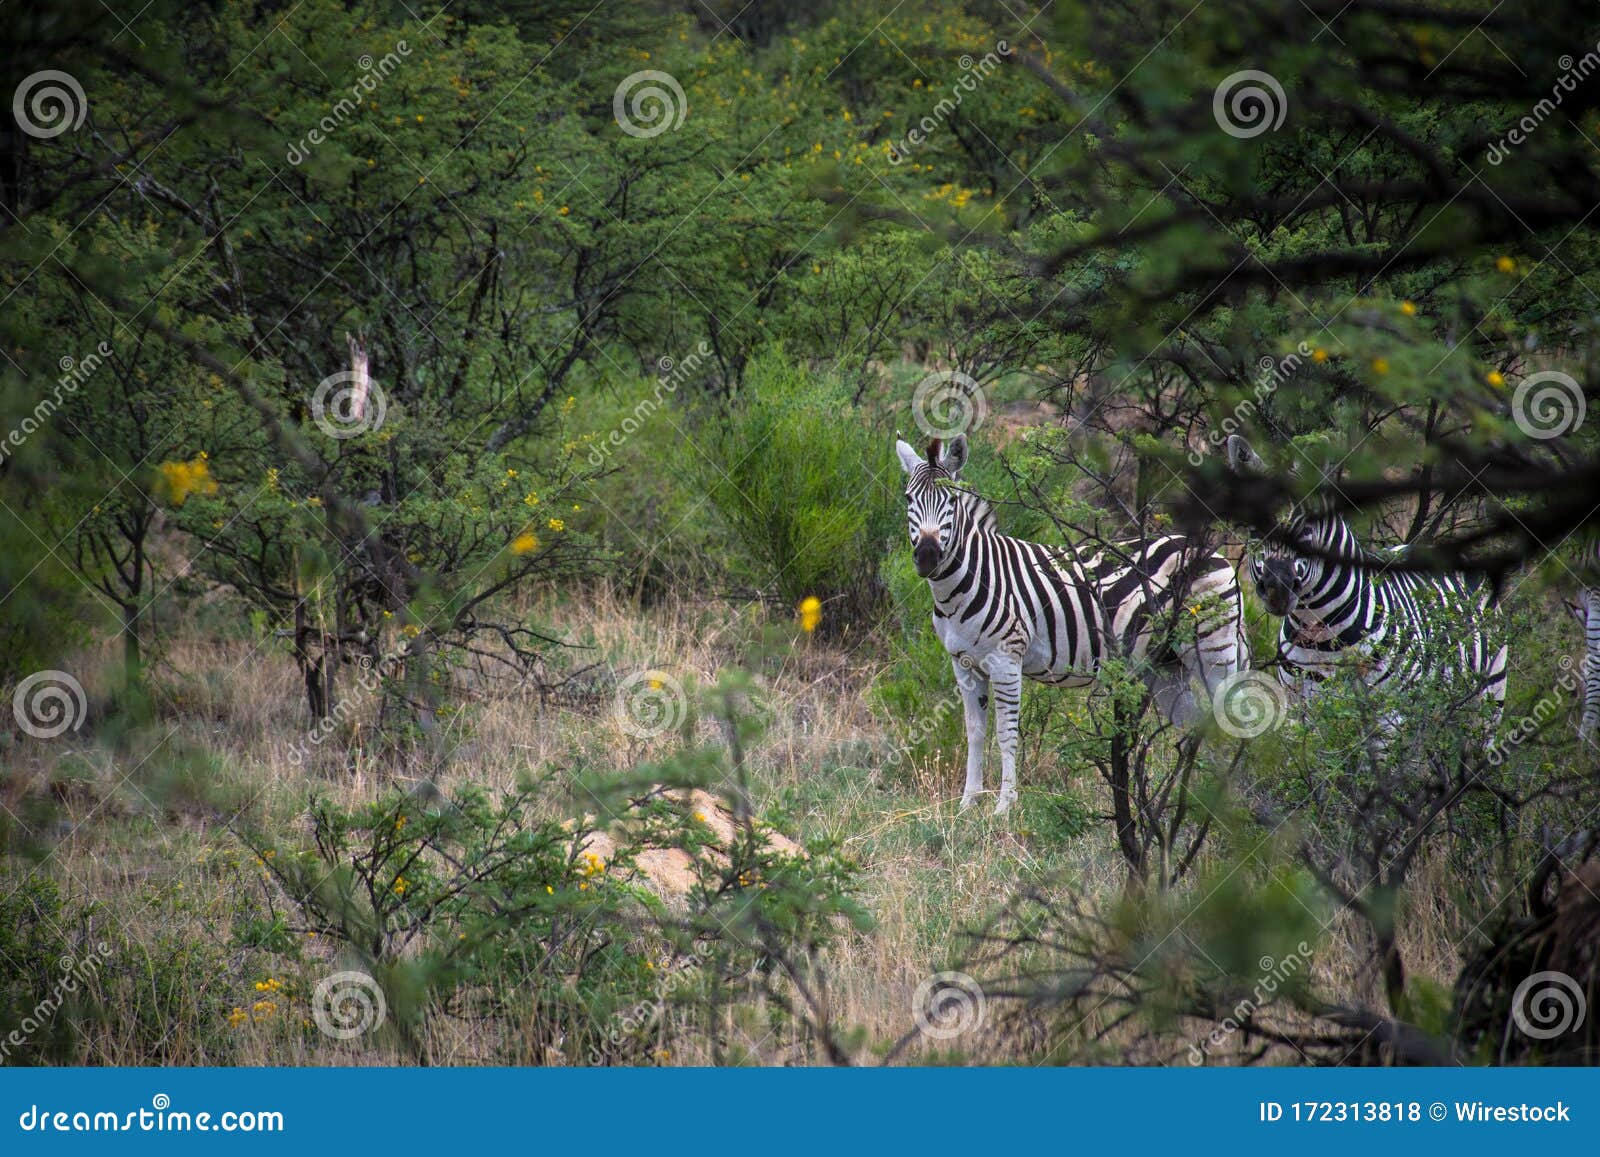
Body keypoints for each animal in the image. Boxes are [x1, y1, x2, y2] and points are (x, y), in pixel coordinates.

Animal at [896, 434, 1247, 814]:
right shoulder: (963, 663)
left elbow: (1005, 733)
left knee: (1228, 723)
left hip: (1213, 650)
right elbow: (974, 731)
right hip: (1169, 665)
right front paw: (967, 804)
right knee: (1196, 724)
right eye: (908, 499)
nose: (927, 556)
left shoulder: (1006, 659)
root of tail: (1215, 555)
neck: (966, 584)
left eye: (952, 501)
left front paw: (1004, 807)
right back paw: (1197, 797)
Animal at [1224, 435, 1508, 717]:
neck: (1321, 637)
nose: (1277, 591)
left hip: (1489, 695)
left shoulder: (1389, 712)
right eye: (1254, 528)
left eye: (1307, 527)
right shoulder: (1301, 709)